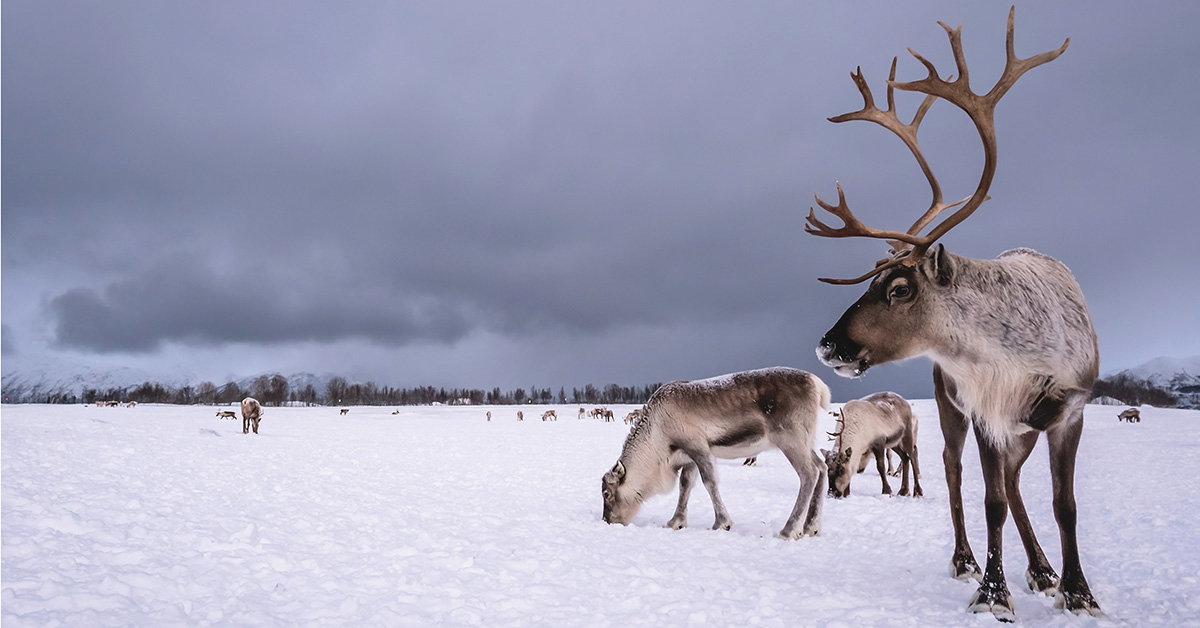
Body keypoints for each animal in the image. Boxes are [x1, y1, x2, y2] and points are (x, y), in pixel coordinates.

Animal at [804, 8, 1100, 620]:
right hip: (951, 405)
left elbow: (1065, 505)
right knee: (958, 472)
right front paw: (993, 592)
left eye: (898, 288)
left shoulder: (1070, 411)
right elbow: (990, 501)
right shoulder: (985, 412)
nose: (826, 345)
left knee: (1012, 484)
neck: (1022, 357)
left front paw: (1079, 592)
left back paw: (1043, 570)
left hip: (1021, 428)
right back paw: (970, 560)